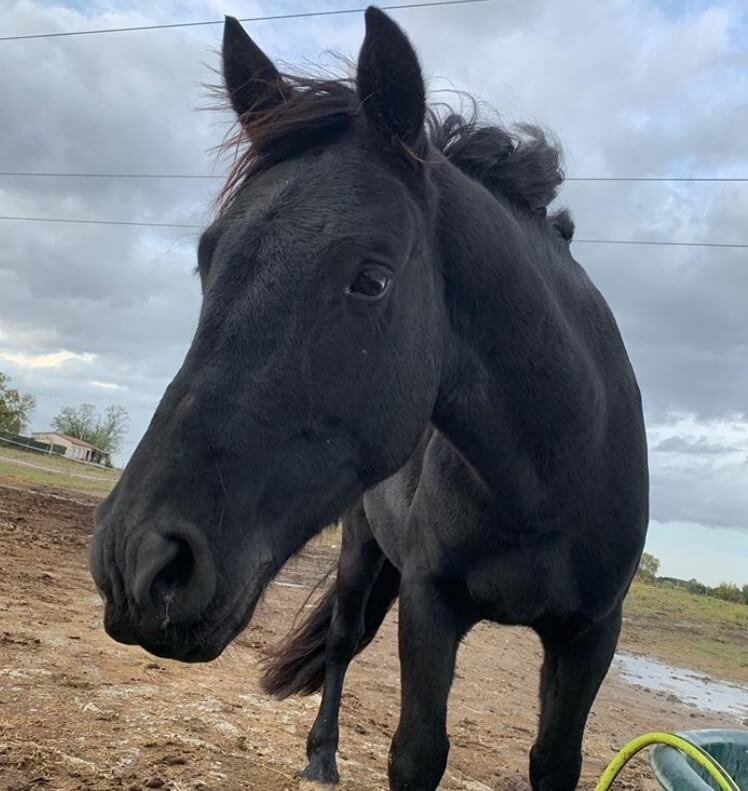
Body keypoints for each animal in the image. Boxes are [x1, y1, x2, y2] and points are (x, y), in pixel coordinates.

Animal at [89, 8, 649, 790]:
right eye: (208, 258)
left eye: (372, 280)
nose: (137, 560)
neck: (553, 467)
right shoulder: (429, 605)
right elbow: (415, 752)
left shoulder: (592, 633)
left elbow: (553, 760)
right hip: (359, 552)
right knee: (342, 639)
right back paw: (321, 756)